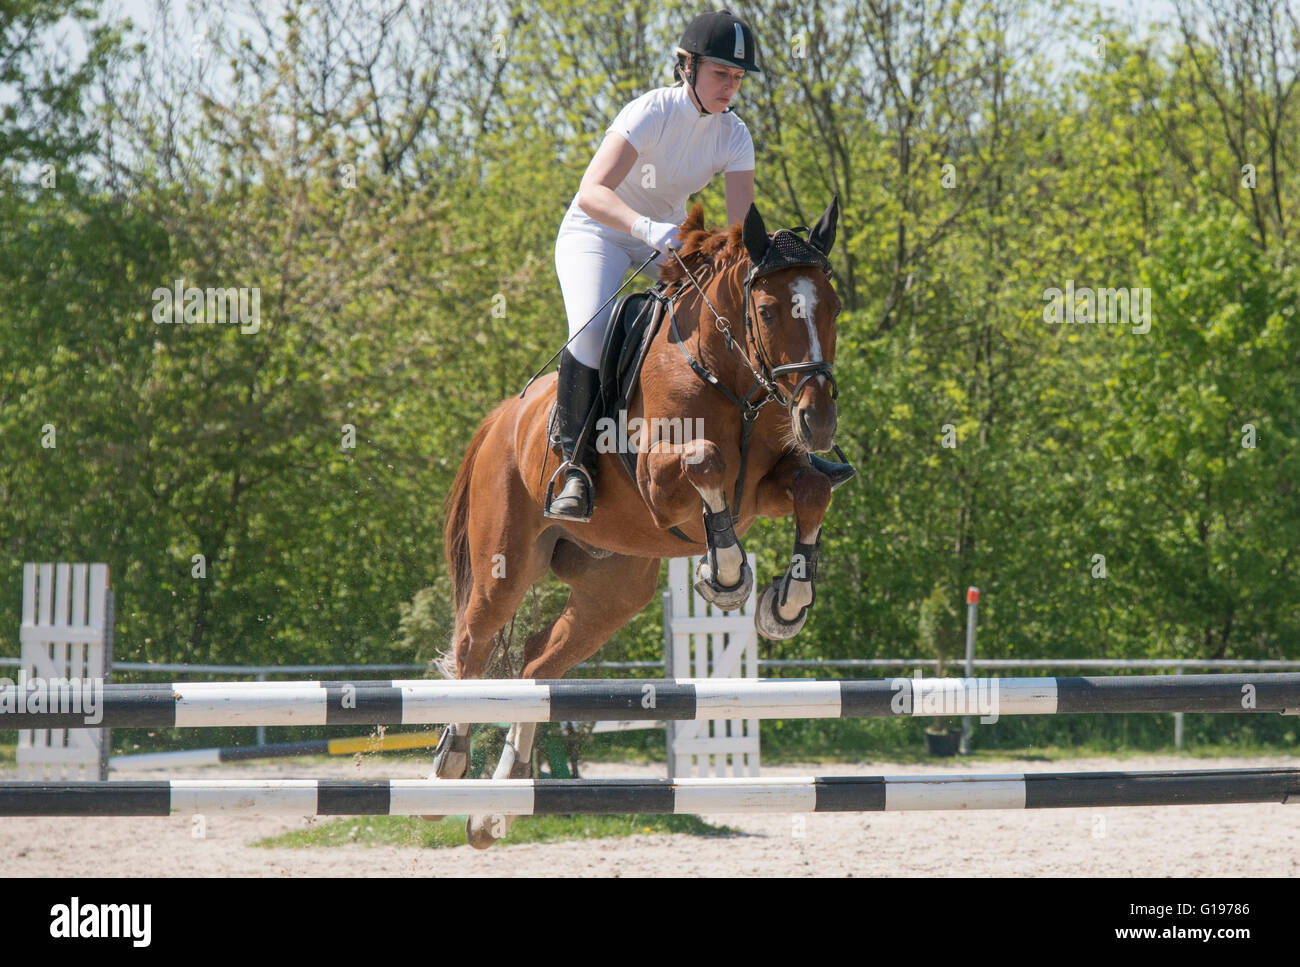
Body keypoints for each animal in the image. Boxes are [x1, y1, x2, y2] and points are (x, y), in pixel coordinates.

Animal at [434, 197, 844, 847]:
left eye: (833, 307)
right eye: (768, 310)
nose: (819, 419)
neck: (728, 376)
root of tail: (503, 417)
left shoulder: (767, 487)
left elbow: (812, 489)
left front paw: (786, 603)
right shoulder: (661, 483)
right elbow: (706, 461)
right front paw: (725, 577)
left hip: (614, 589)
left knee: (535, 664)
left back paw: (496, 804)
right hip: (505, 564)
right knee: (474, 644)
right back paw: (451, 761)